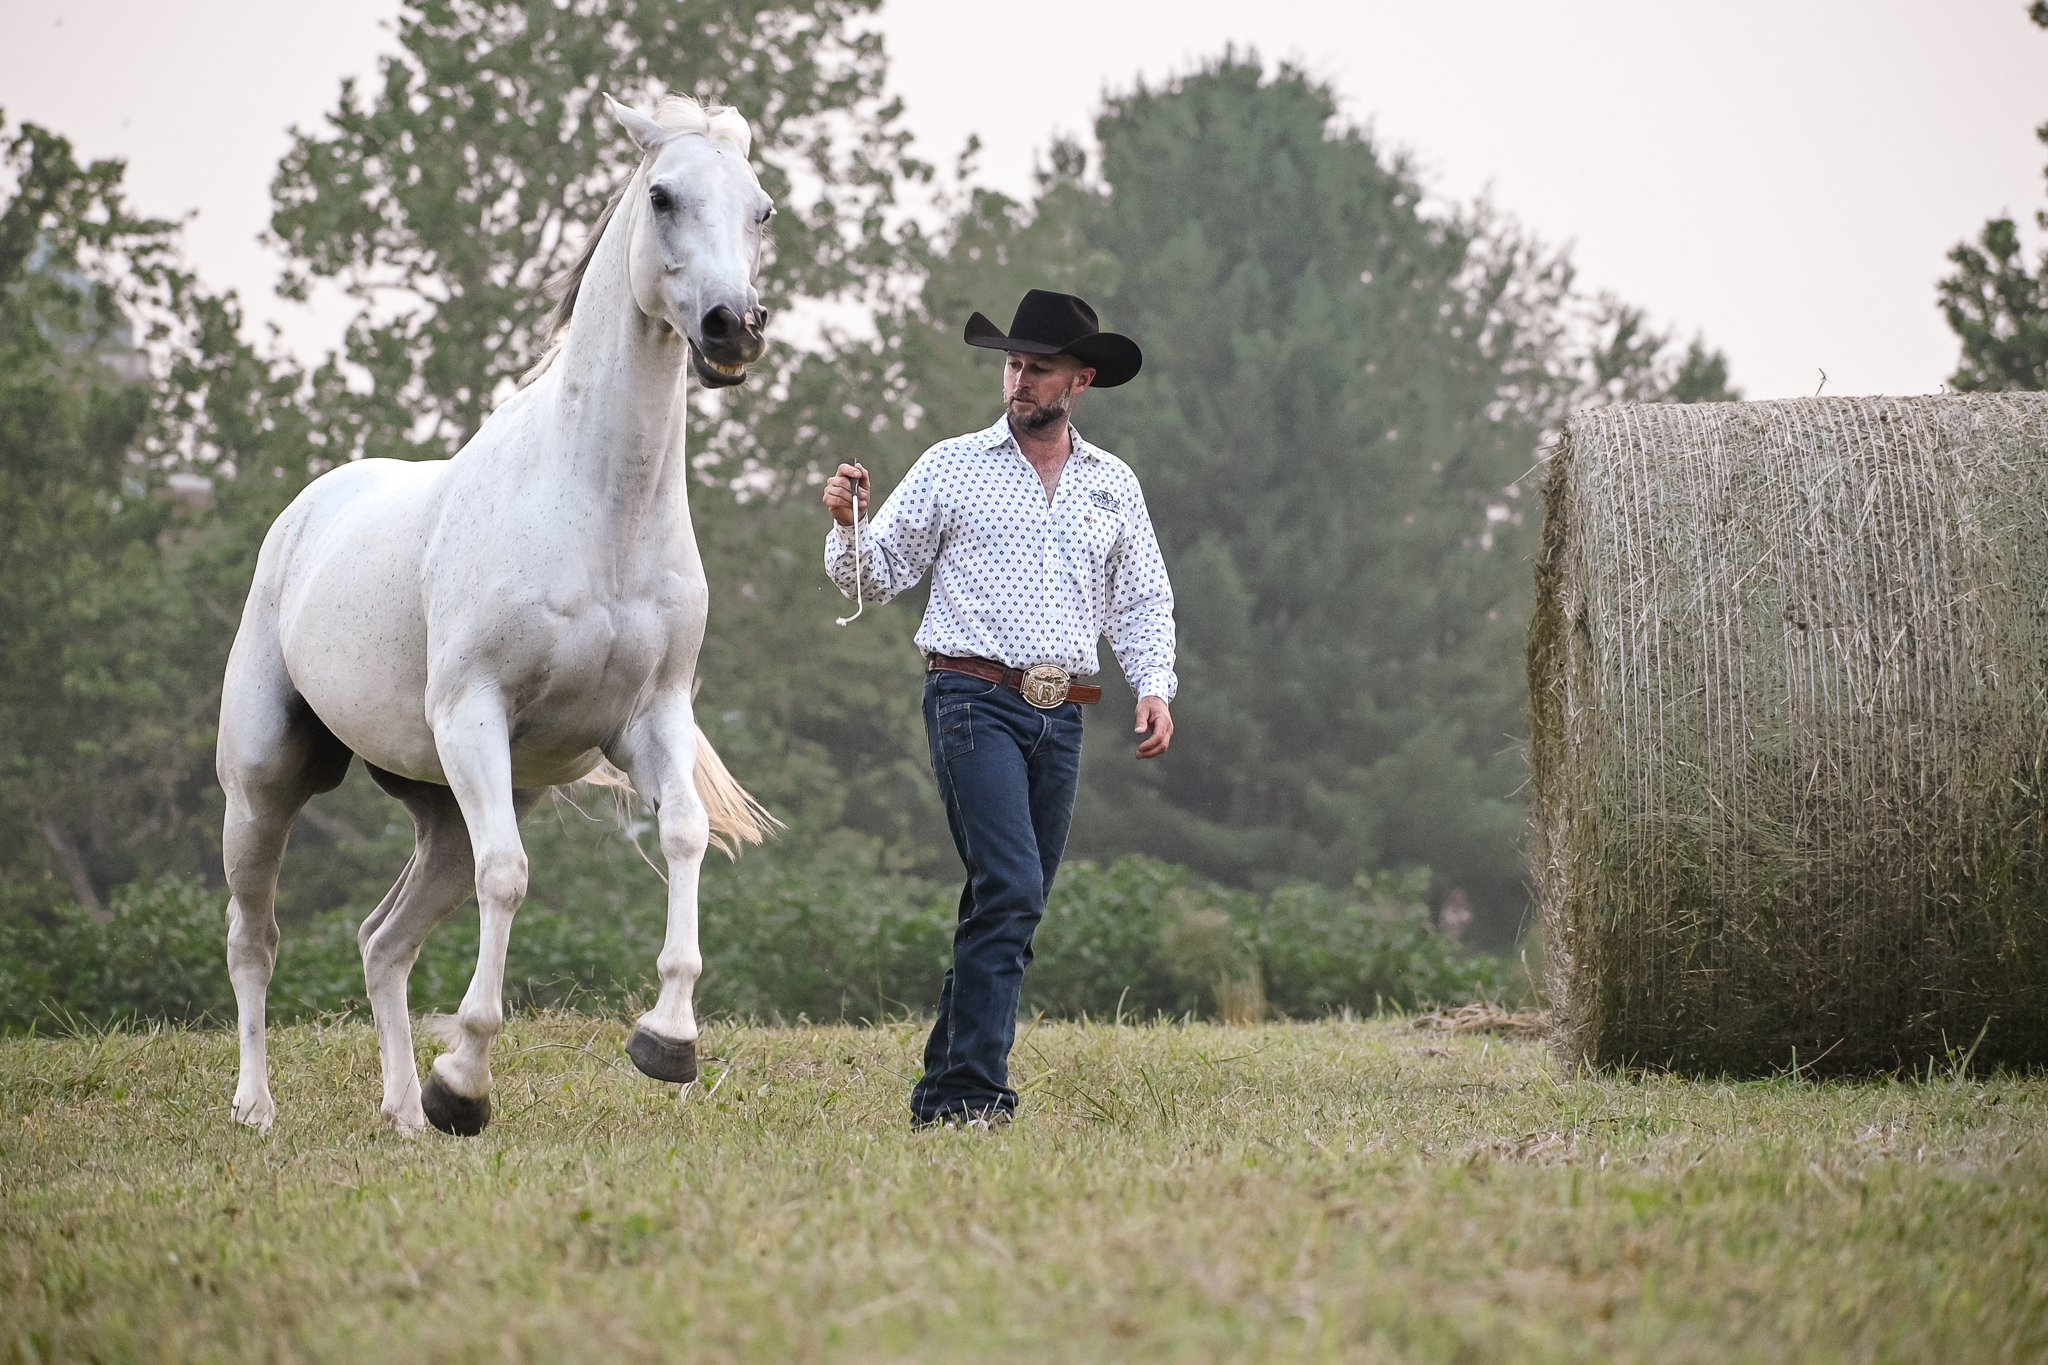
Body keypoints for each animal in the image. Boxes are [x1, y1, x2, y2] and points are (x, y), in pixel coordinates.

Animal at [216, 94, 776, 1135]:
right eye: (662, 194)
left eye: (760, 208)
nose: (733, 329)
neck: (597, 506)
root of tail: (305, 513)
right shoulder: (476, 714)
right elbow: (509, 876)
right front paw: (467, 1080)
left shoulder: (653, 719)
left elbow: (682, 833)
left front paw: (667, 1039)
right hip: (266, 784)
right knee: (254, 935)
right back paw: (258, 1106)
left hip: (441, 808)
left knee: (382, 940)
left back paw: (402, 1113)